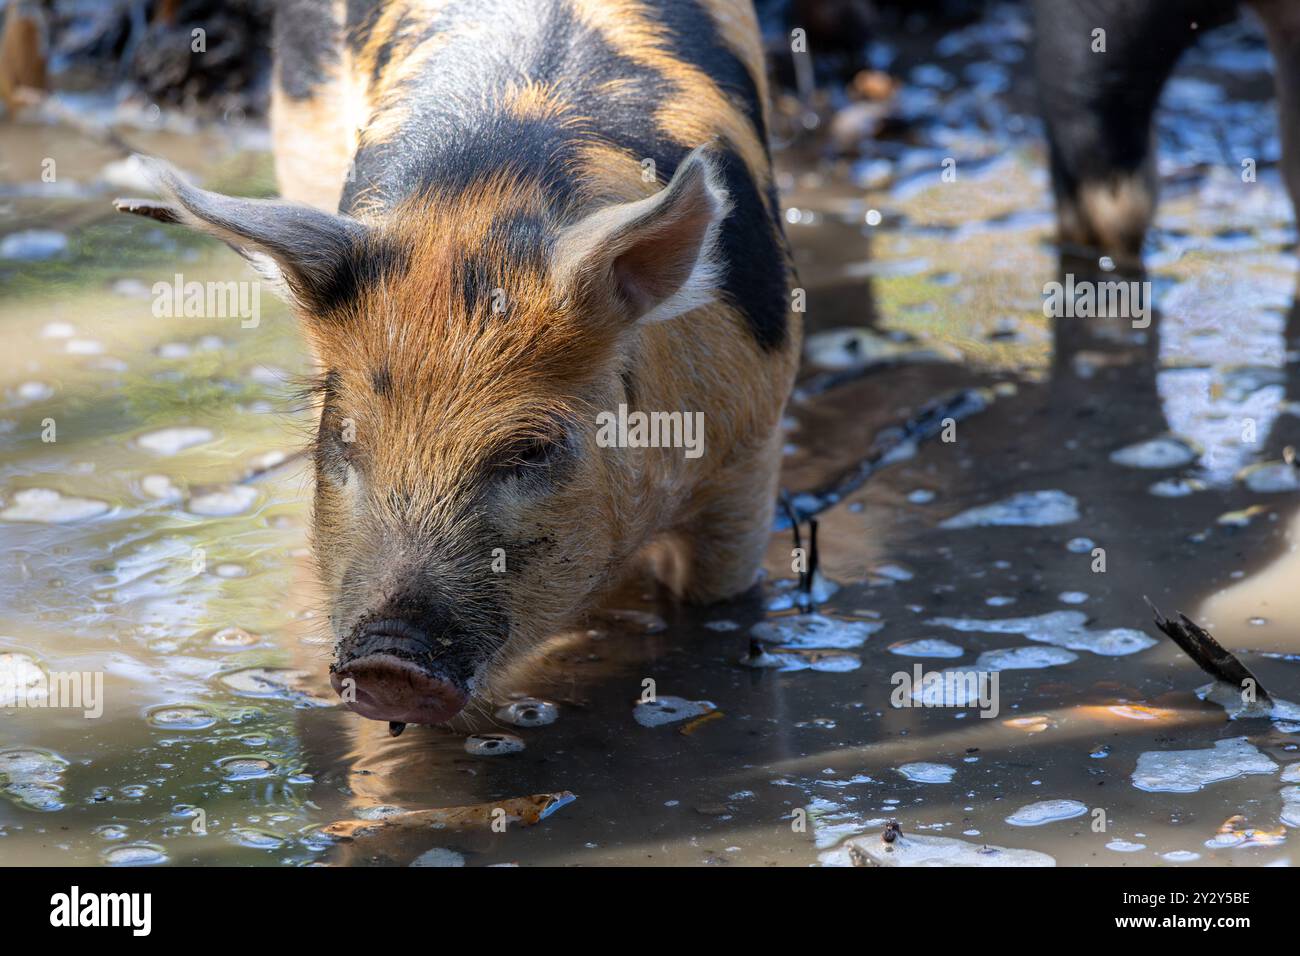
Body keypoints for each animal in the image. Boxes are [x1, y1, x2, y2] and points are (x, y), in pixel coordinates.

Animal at [116, 0, 800, 727]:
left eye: (531, 450)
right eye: (343, 440)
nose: (386, 663)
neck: (485, 193)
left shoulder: (751, 441)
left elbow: (717, 593)